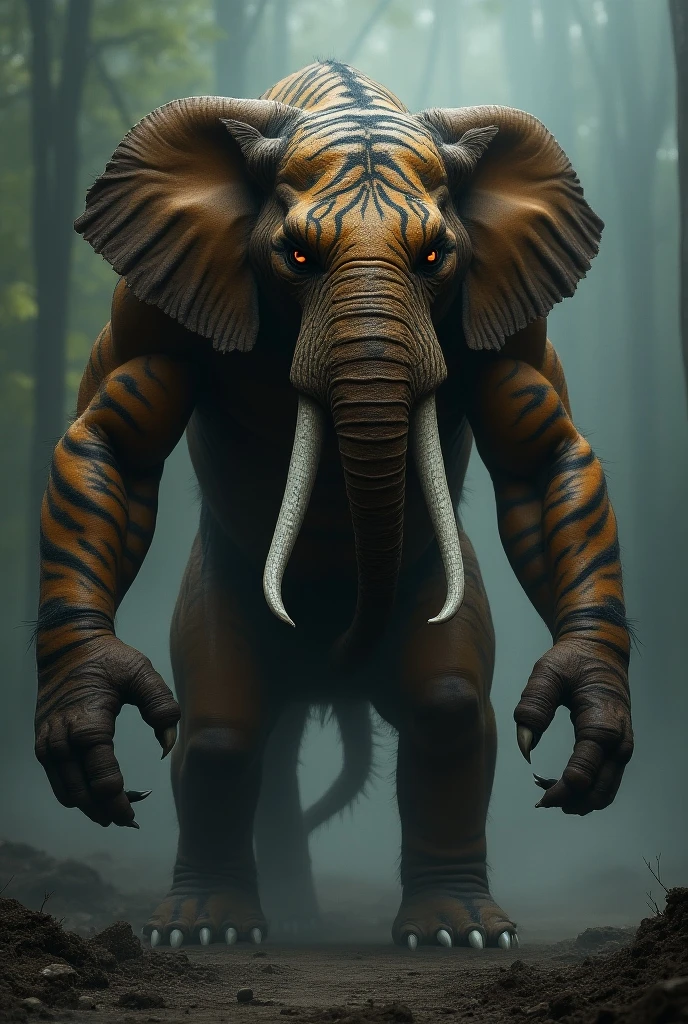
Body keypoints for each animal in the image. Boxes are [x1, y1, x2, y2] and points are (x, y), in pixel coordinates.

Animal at [34, 60, 633, 951]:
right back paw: (212, 928)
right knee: (221, 736)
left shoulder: (517, 324)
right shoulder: (145, 309)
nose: (343, 645)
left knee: (446, 707)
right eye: (296, 254)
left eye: (435, 255)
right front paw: (88, 722)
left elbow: (542, 459)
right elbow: (113, 443)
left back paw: (455, 930)